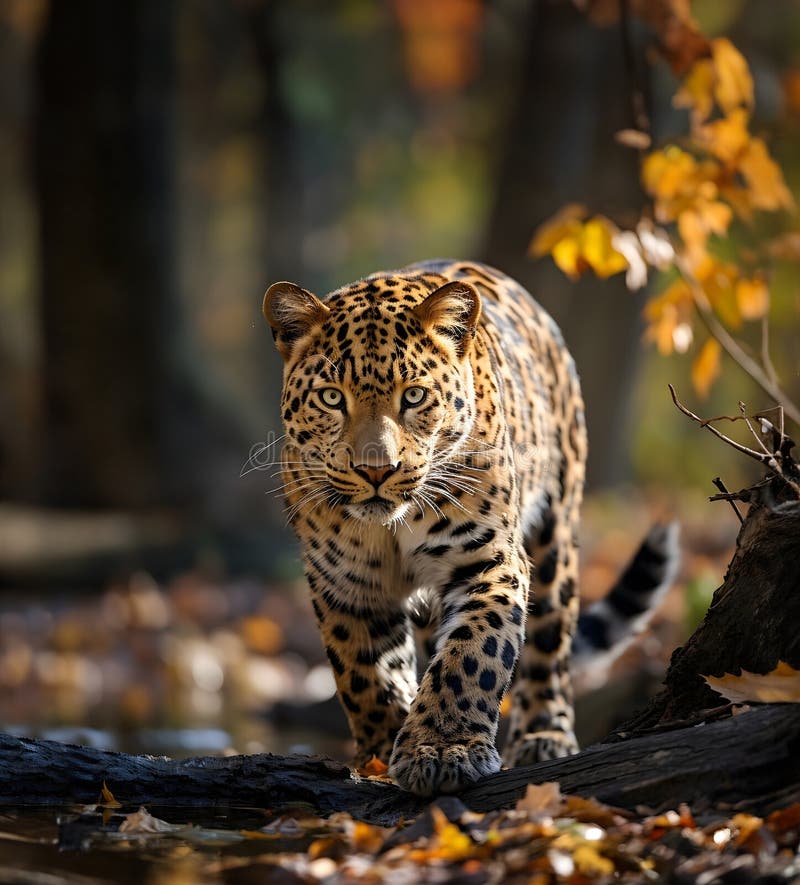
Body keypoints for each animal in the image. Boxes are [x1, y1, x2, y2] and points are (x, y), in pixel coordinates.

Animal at [261, 259, 677, 796]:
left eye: (415, 396)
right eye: (332, 398)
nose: (376, 470)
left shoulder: (488, 560)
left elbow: (473, 653)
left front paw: (442, 750)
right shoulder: (346, 584)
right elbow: (366, 674)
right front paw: (379, 754)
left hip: (556, 534)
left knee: (550, 643)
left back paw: (545, 734)